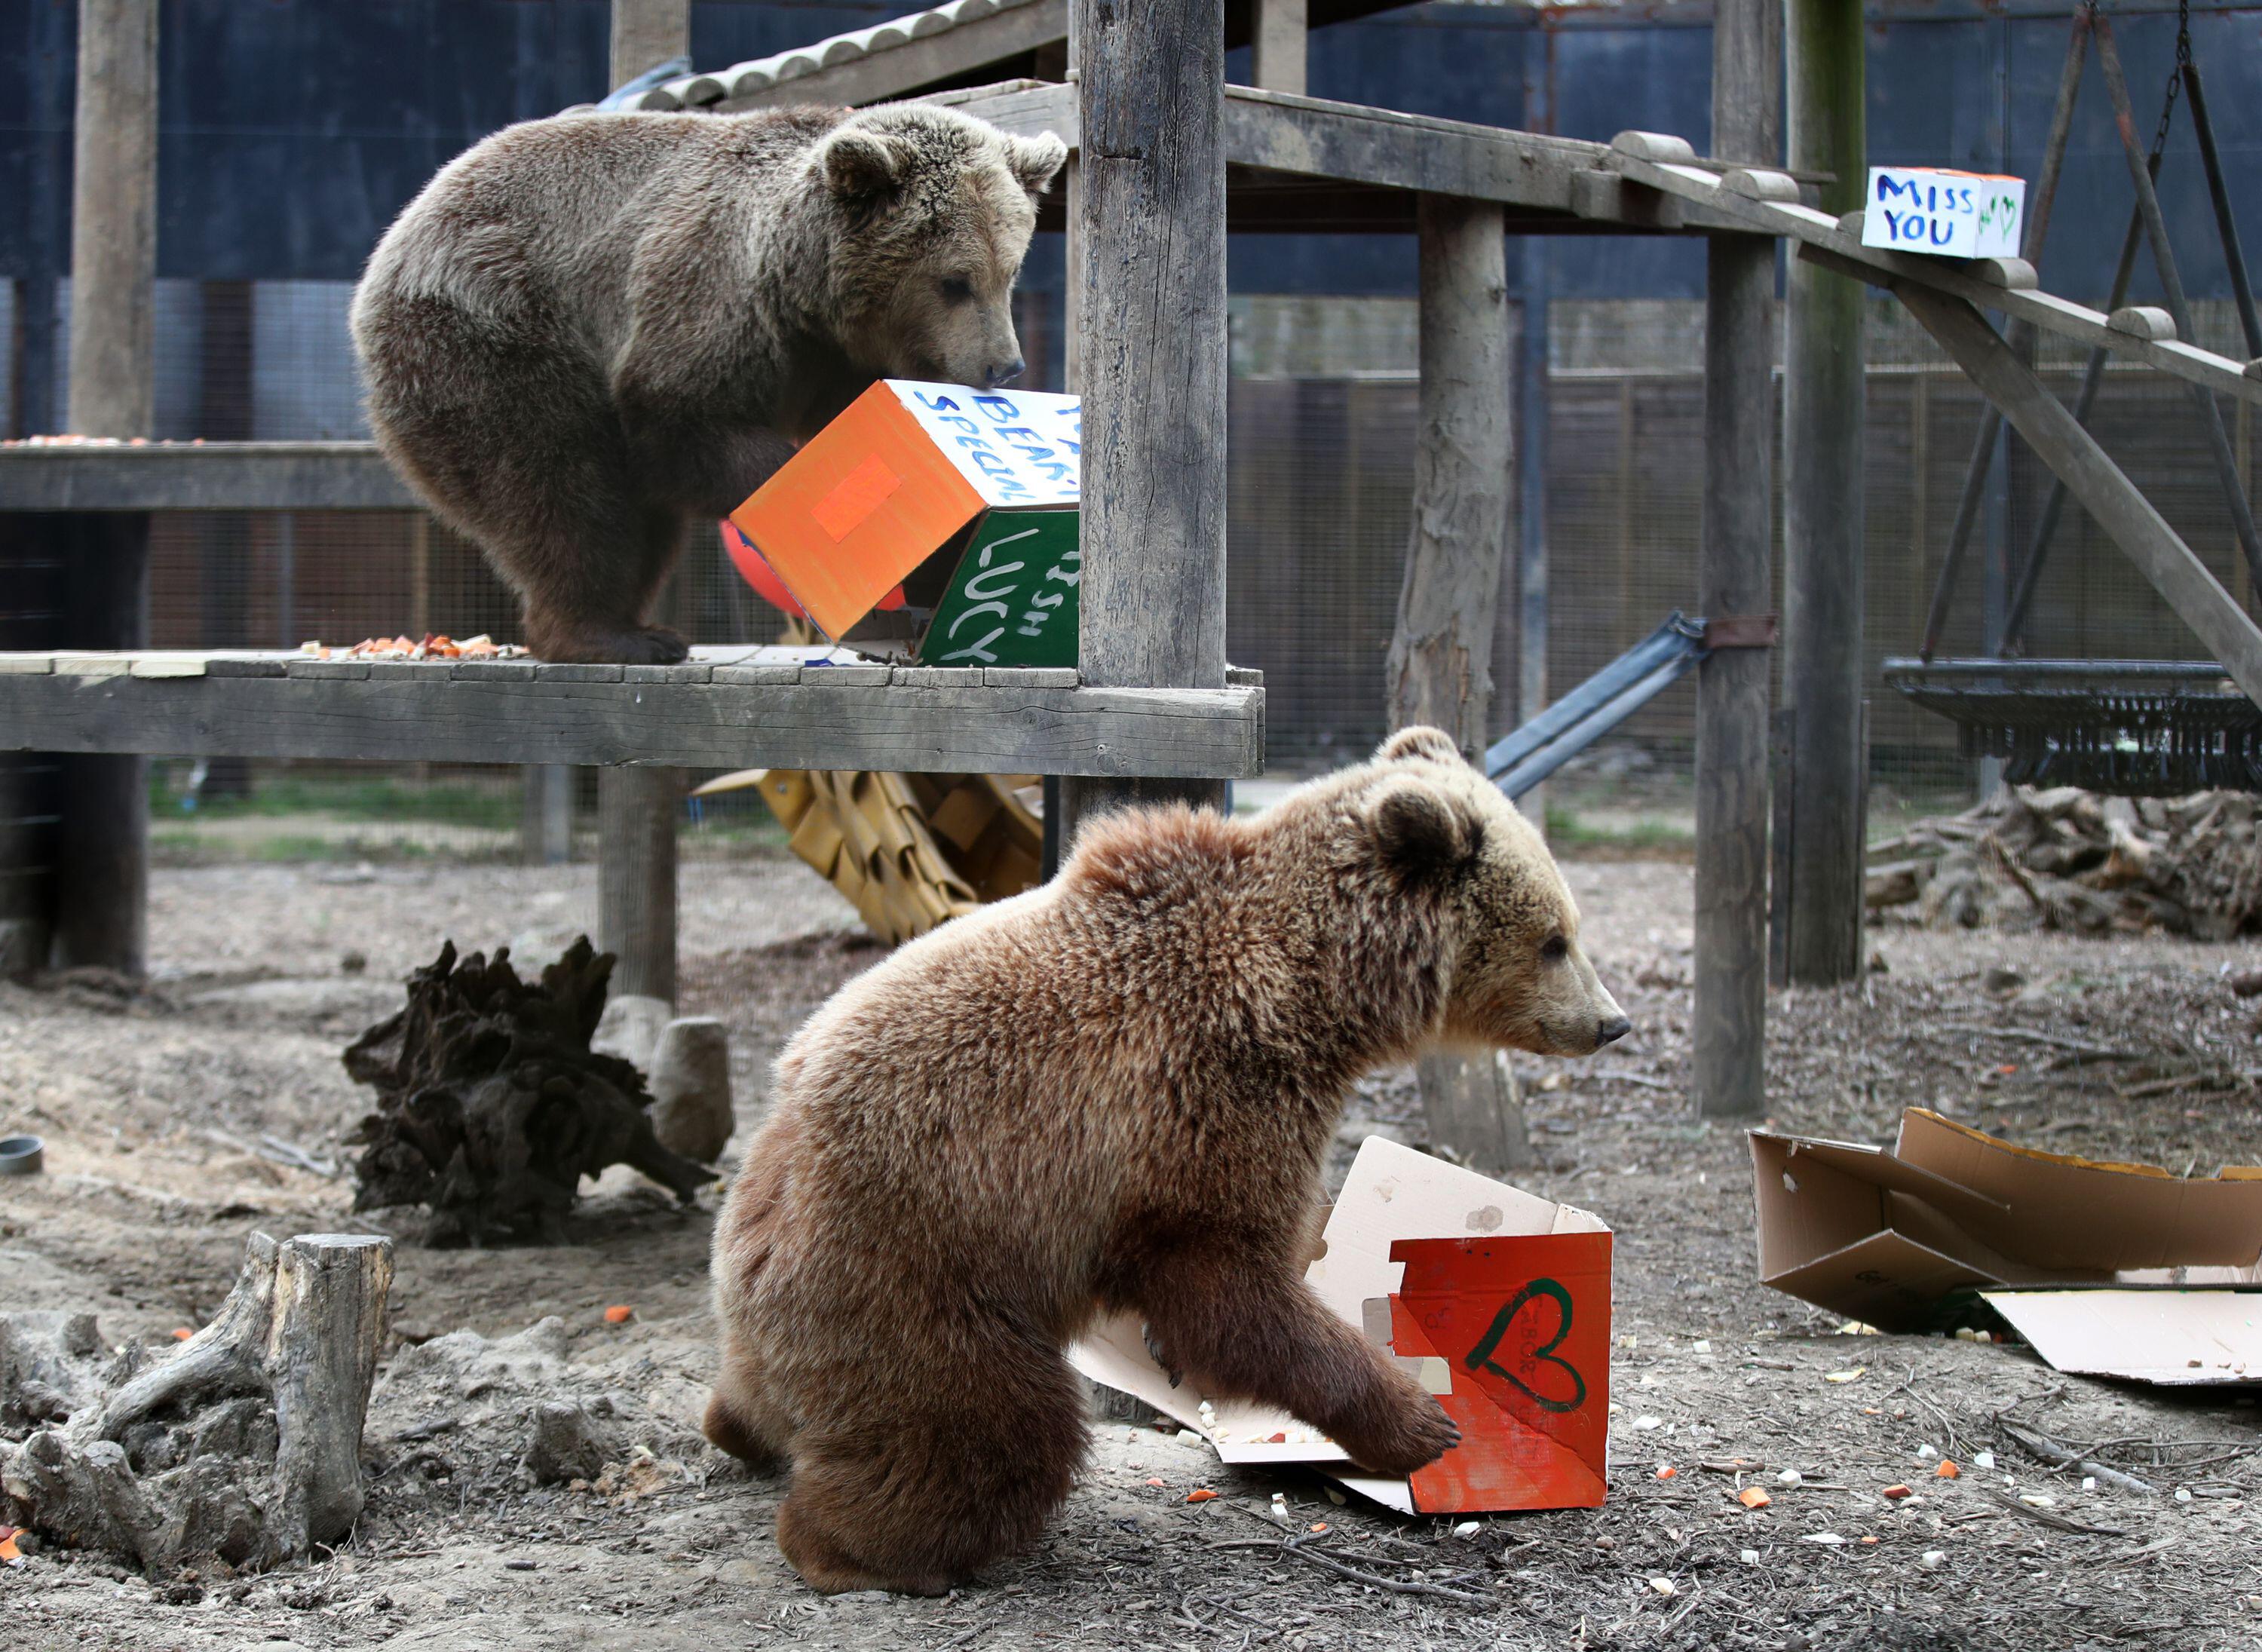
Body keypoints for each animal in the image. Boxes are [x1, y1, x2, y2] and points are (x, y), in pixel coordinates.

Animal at [349, 103, 1067, 663]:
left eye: (1009, 270)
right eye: (954, 281)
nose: (1004, 365)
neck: (806, 294)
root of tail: (396, 235)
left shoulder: (832, 361)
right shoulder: (710, 303)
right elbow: (683, 427)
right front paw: (799, 496)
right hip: (493, 332)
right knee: (559, 484)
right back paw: (609, 633)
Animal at [702, 726, 1631, 1595]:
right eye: (1554, 938)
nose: (1610, 1021)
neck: (1315, 992)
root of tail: (753, 1219)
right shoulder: (1199, 1095)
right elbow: (1229, 1283)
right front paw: (1420, 1421)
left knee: (782, 1398)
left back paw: (737, 1428)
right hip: (914, 1273)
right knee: (994, 1429)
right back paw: (861, 1551)